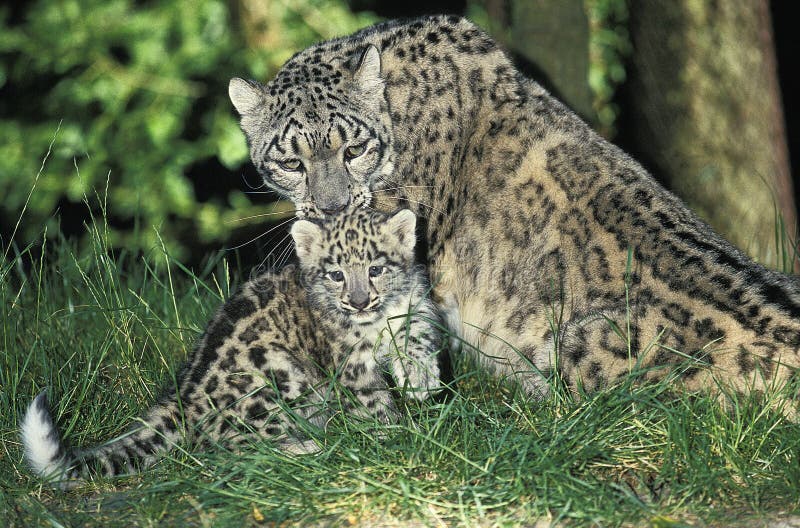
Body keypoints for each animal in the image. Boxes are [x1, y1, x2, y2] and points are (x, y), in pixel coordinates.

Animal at [21, 208, 442, 486]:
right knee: (228, 449)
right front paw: (398, 434)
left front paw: (421, 381)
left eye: (376, 269)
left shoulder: (417, 307)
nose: (358, 302)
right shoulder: (350, 363)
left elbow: (417, 335)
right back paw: (308, 446)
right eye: (336, 274)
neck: (379, 319)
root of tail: (182, 399)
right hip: (277, 379)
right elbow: (373, 402)